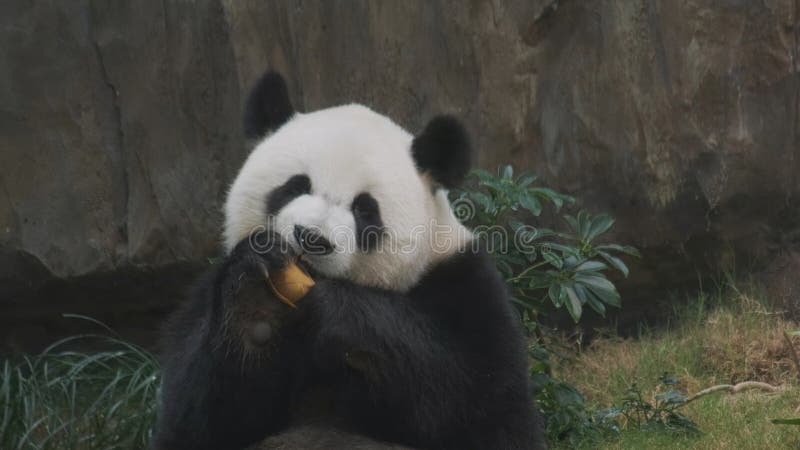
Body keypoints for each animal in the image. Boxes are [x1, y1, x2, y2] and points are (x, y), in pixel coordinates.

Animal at [151, 71, 546, 450]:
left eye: (364, 209)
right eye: (296, 186)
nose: (312, 238)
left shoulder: (465, 286)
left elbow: (483, 405)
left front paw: (338, 311)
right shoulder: (203, 298)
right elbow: (198, 419)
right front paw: (257, 297)